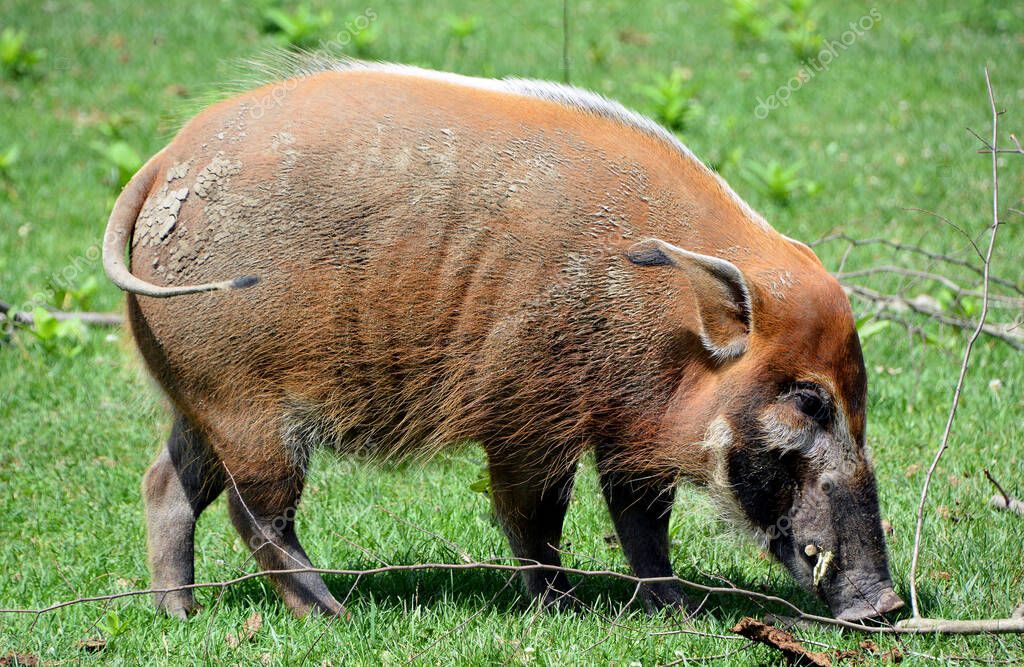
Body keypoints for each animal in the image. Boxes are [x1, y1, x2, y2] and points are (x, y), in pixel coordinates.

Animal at [102, 58, 903, 622]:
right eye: (809, 399)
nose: (887, 606)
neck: (668, 324)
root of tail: (160, 163)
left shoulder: (629, 425)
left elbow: (642, 520)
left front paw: (677, 609)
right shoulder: (529, 416)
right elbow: (537, 513)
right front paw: (565, 608)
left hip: (199, 397)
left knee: (166, 482)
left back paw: (178, 611)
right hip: (249, 403)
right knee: (255, 510)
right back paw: (334, 612)